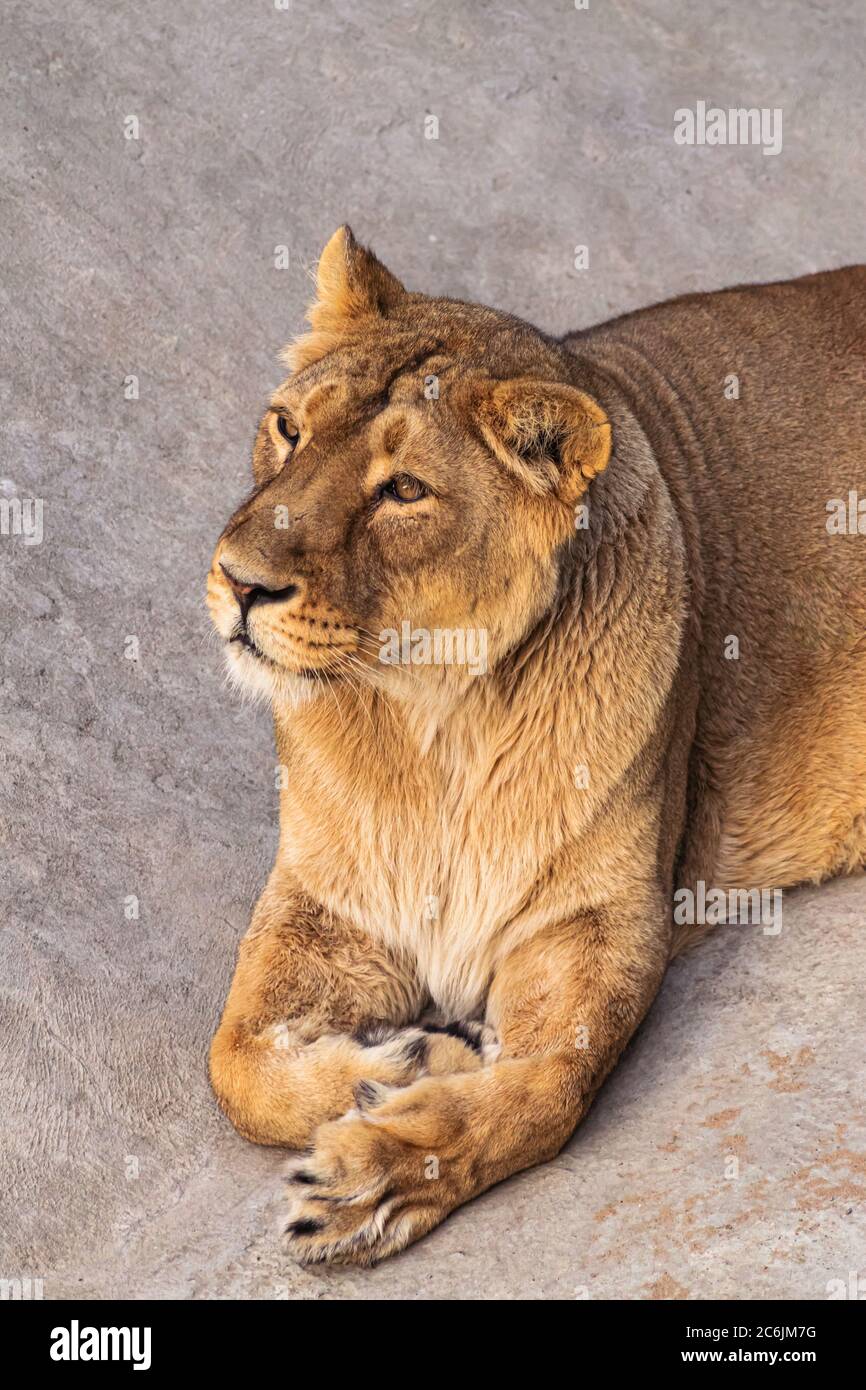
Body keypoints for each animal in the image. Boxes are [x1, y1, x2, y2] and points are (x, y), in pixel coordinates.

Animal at [206, 226, 866, 1265]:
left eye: (404, 491)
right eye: (287, 429)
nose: (238, 582)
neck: (433, 718)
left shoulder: (596, 922)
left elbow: (542, 1092)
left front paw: (379, 1171)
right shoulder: (328, 900)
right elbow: (233, 1064)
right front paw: (408, 1058)